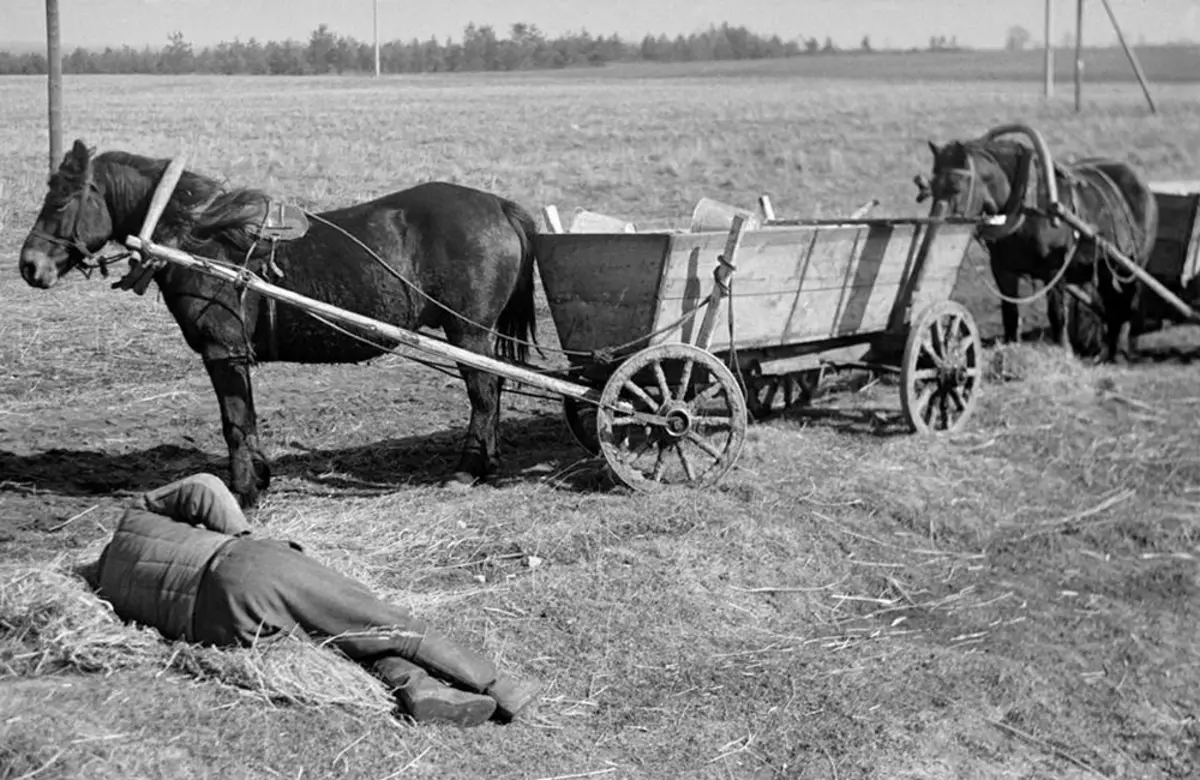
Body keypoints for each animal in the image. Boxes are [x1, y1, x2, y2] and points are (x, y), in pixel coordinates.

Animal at [21, 139, 537, 504]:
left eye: (62, 201)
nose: (29, 266)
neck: (200, 240)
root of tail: (497, 204)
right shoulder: (231, 354)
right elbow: (245, 416)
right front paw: (259, 477)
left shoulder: (222, 351)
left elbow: (233, 420)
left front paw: (243, 490)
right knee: (492, 389)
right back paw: (487, 462)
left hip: (468, 331)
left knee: (483, 393)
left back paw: (469, 467)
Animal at [921, 137, 1156, 362]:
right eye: (932, 187)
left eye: (956, 187)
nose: (935, 230)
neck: (1027, 209)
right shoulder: (1003, 270)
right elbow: (1010, 313)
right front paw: (1010, 348)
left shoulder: (1055, 270)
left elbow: (1057, 315)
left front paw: (1064, 351)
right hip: (1107, 269)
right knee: (1113, 306)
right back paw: (1107, 353)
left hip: (1130, 267)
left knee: (1127, 305)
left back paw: (1118, 352)